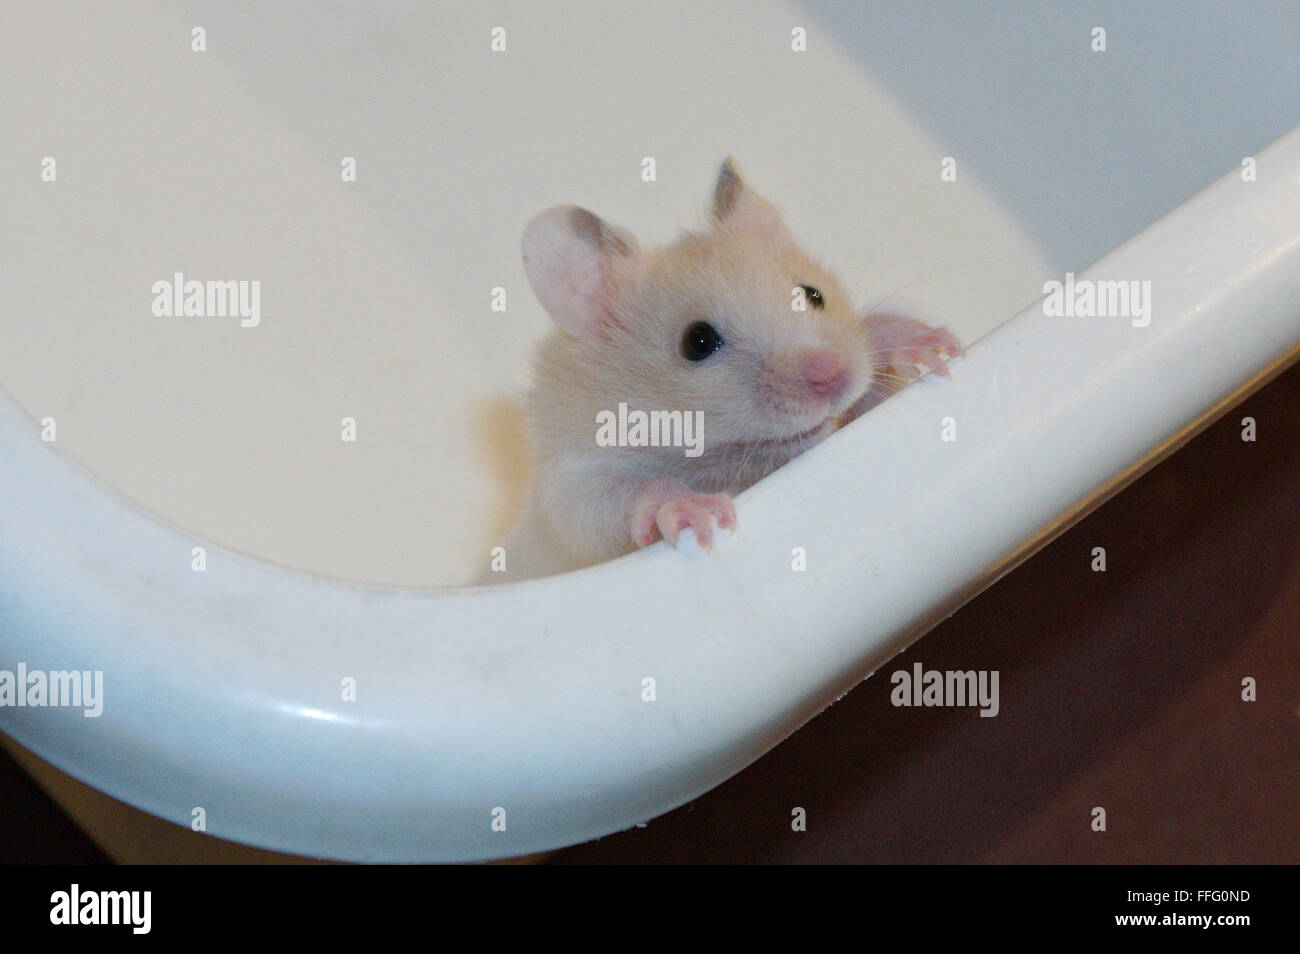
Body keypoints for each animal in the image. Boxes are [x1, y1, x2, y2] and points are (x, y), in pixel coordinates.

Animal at [502, 157, 961, 579]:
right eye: (697, 342)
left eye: (812, 293)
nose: (833, 377)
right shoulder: (572, 493)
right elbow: (629, 494)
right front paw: (701, 515)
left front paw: (936, 347)